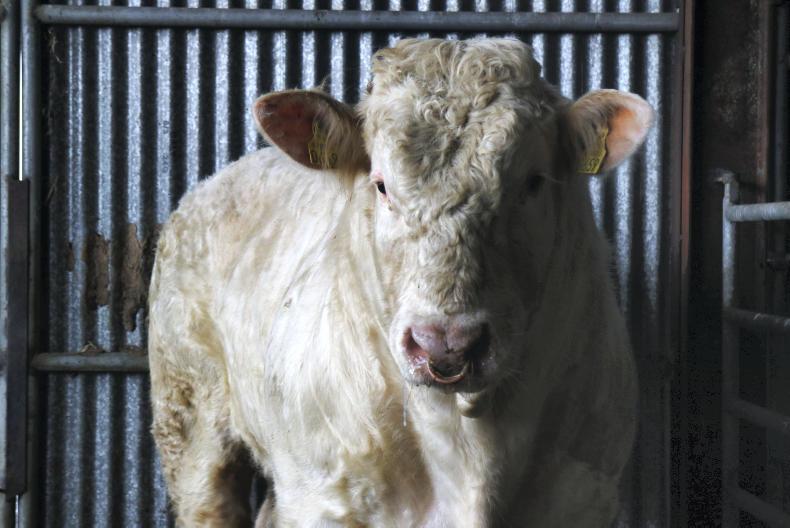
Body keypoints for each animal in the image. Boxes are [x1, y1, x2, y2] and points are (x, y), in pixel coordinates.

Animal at [148, 38, 653, 527]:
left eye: (532, 182)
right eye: (381, 185)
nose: (446, 344)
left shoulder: (584, 497)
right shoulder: (323, 500)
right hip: (189, 416)